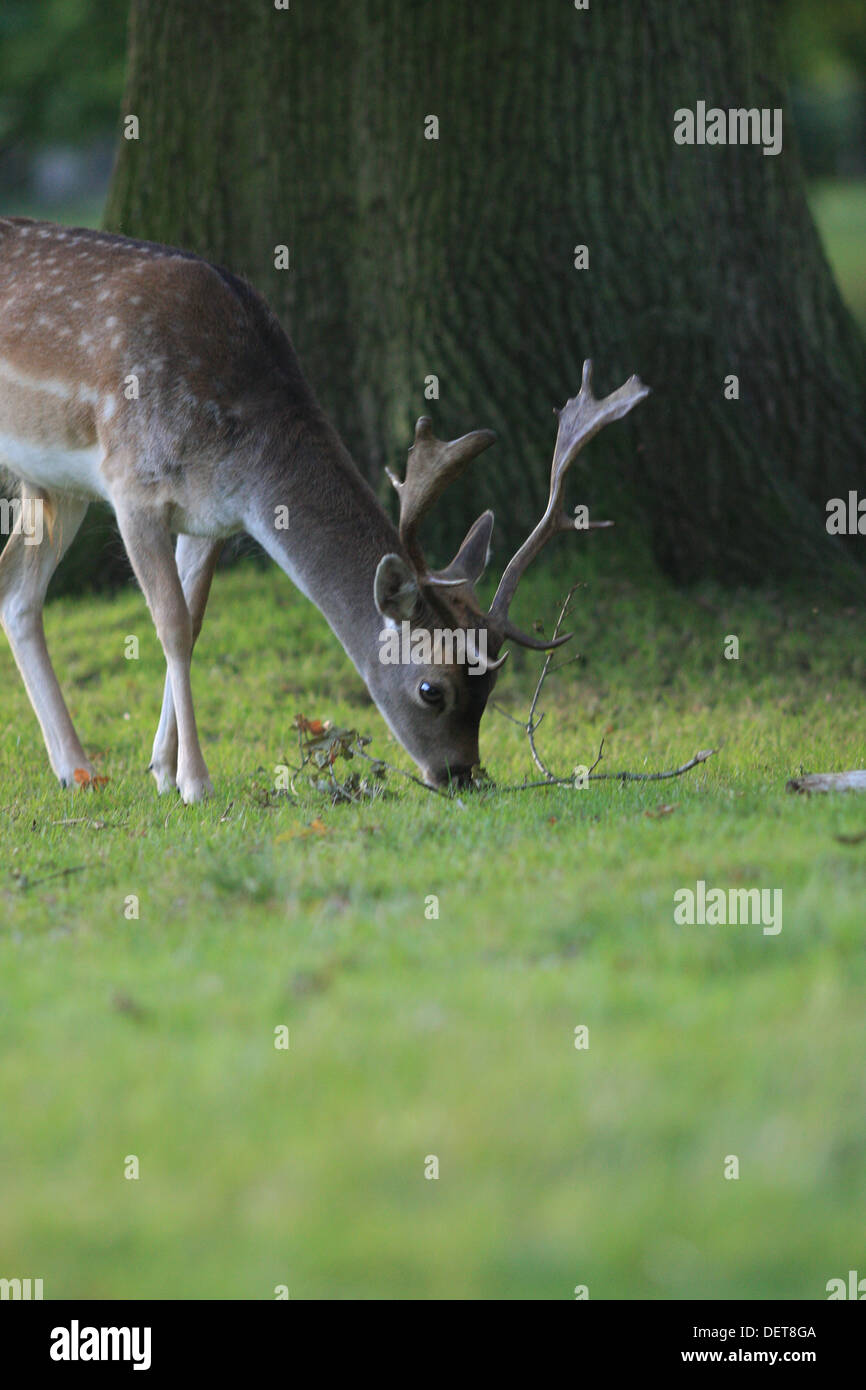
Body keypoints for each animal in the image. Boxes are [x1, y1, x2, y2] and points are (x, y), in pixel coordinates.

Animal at [0, 218, 649, 801]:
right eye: (432, 689)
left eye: (491, 681)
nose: (461, 774)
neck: (238, 441)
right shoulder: (132, 484)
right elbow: (173, 627)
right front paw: (194, 782)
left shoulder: (209, 517)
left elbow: (196, 622)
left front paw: (162, 769)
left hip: (51, 484)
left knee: (17, 592)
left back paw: (76, 771)